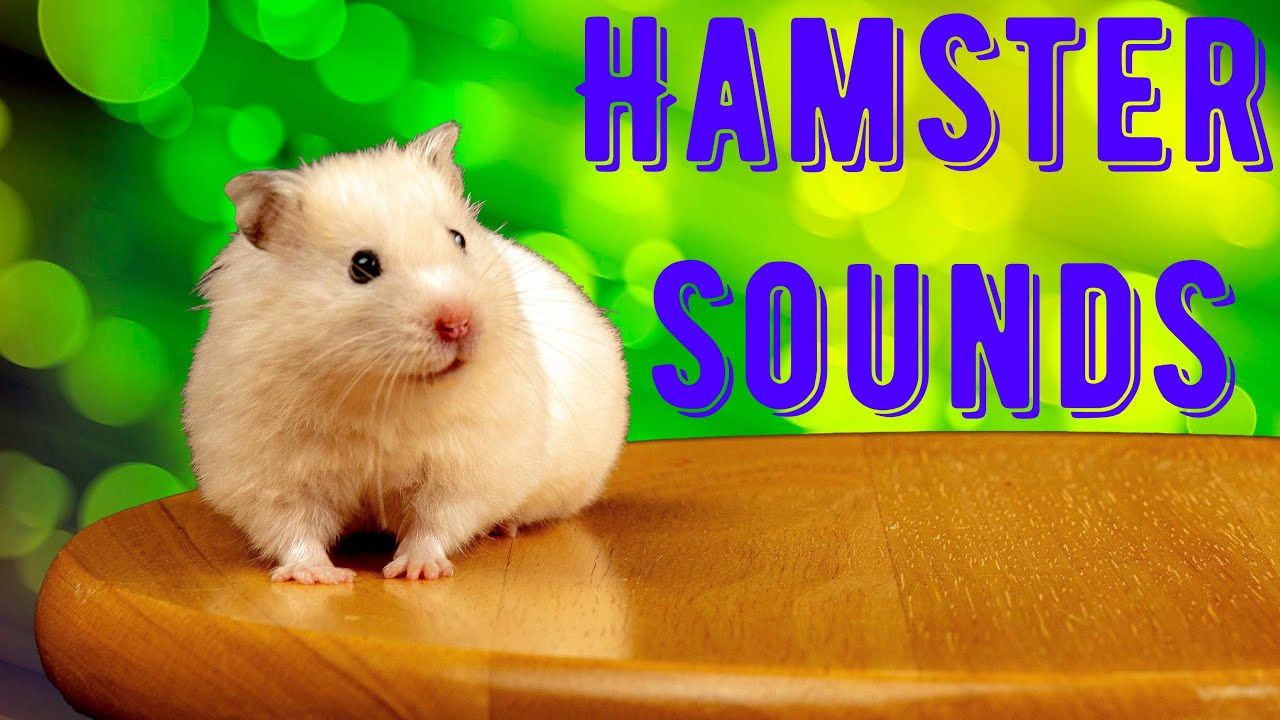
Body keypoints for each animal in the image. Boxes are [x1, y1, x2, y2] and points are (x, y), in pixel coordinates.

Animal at [182, 122, 630, 584]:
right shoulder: (270, 474)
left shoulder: (466, 465)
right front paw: (320, 576)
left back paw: (503, 527)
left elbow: (436, 521)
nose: (458, 323)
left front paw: (415, 571)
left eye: (459, 239)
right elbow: (293, 528)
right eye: (362, 266)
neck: (380, 389)